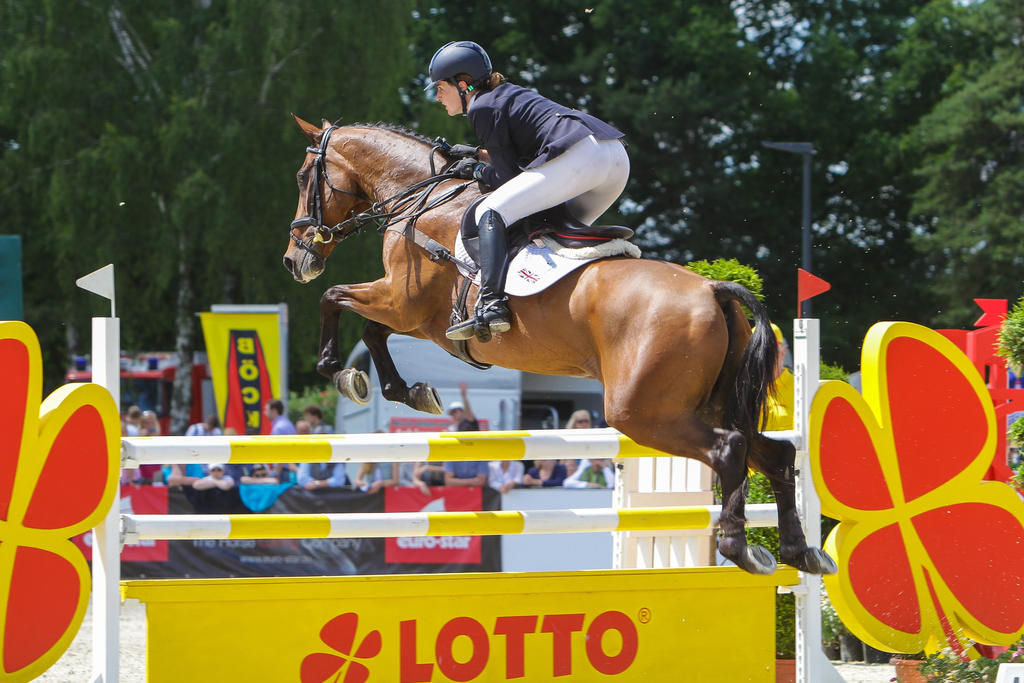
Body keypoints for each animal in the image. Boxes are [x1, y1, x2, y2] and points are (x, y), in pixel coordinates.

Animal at [282, 115, 836, 576]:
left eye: (305, 177)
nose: (294, 260)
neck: (421, 201)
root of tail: (713, 290)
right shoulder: (418, 319)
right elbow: (371, 332)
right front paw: (407, 390)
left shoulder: (403, 302)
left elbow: (335, 299)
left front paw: (339, 371)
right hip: (710, 403)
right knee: (776, 454)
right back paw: (800, 552)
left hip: (642, 412)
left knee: (729, 448)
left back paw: (739, 548)